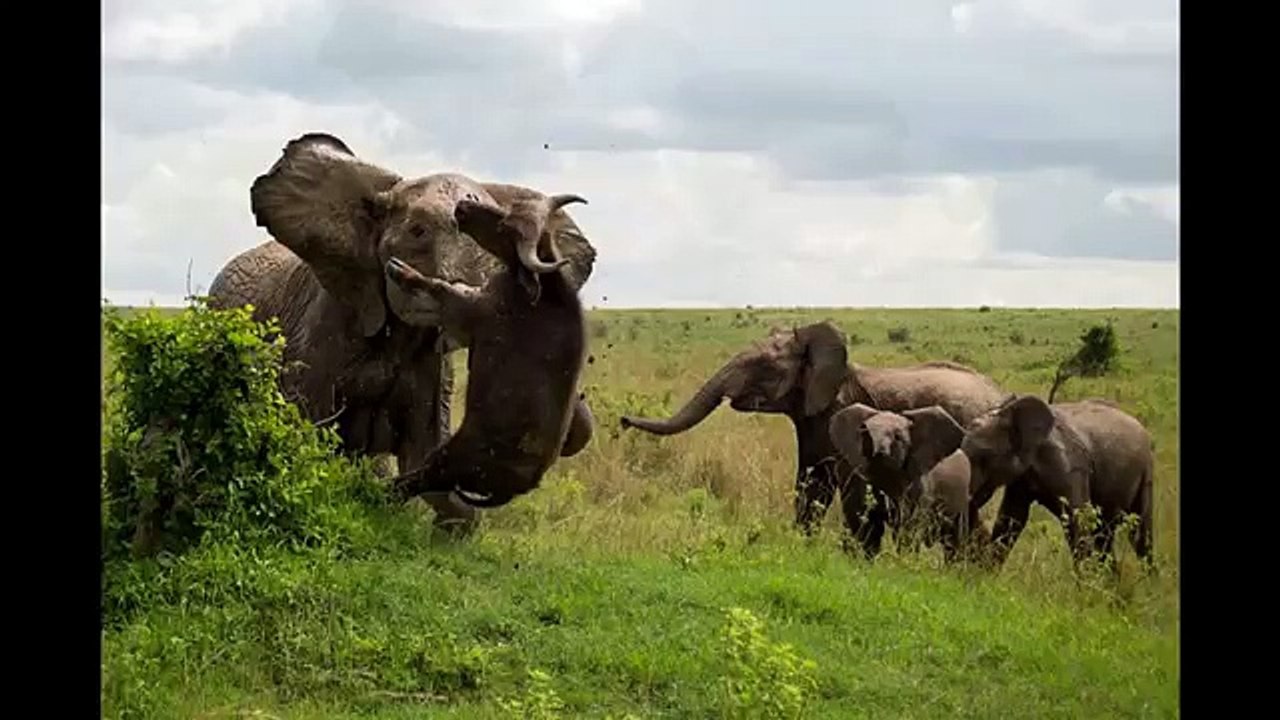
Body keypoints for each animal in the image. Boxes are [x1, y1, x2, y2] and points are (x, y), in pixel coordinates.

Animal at [384, 191, 594, 509]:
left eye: (505, 227)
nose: (464, 206)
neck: (542, 293)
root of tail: (523, 485)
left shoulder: (471, 310)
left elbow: (439, 287)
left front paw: (400, 268)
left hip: (448, 460)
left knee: (414, 481)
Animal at [827, 403, 988, 563]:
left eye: (898, 437)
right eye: (865, 433)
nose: (878, 453)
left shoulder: (919, 487)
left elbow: (907, 528)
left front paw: (903, 562)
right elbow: (866, 525)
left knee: (953, 539)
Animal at [960, 394, 1155, 571]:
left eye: (983, 457)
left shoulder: (1071, 467)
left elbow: (1078, 521)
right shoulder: (1021, 479)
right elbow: (1011, 518)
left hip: (1146, 473)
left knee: (1140, 534)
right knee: (1104, 536)